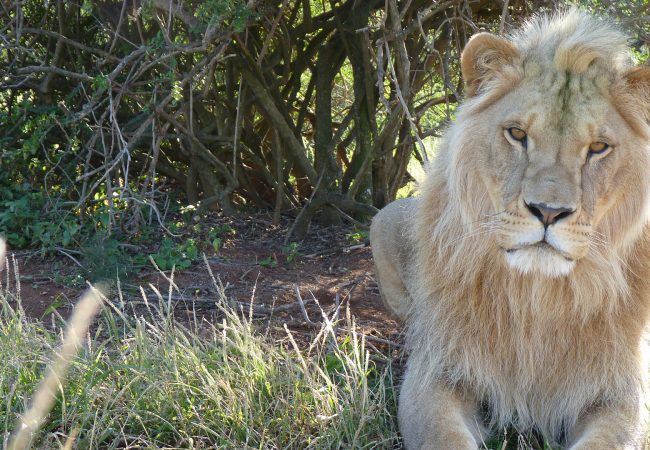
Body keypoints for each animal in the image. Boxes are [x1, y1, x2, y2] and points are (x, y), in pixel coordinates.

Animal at [370, 10, 650, 449]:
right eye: (517, 134)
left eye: (598, 148)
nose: (548, 212)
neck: (536, 296)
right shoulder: (433, 374)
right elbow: (443, 437)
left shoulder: (623, 392)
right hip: (383, 220)